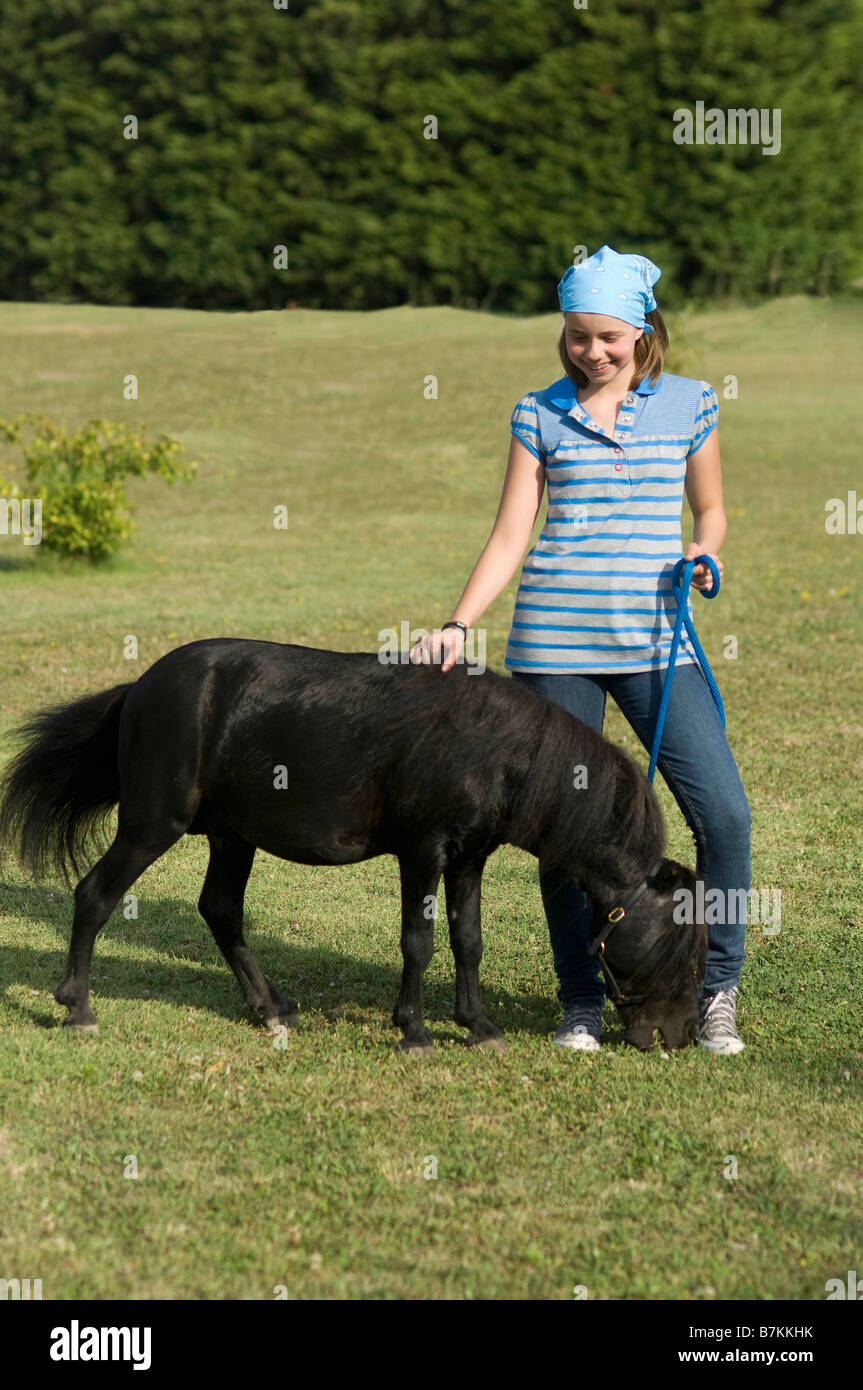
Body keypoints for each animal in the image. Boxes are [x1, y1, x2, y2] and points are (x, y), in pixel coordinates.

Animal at [0, 639, 706, 1051]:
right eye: (684, 952)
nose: (679, 1035)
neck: (494, 750)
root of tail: (142, 686)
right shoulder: (423, 853)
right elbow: (419, 942)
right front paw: (415, 1029)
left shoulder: (468, 860)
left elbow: (468, 940)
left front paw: (477, 1026)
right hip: (153, 825)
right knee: (94, 895)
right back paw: (77, 1006)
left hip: (232, 836)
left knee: (220, 912)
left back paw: (270, 1007)